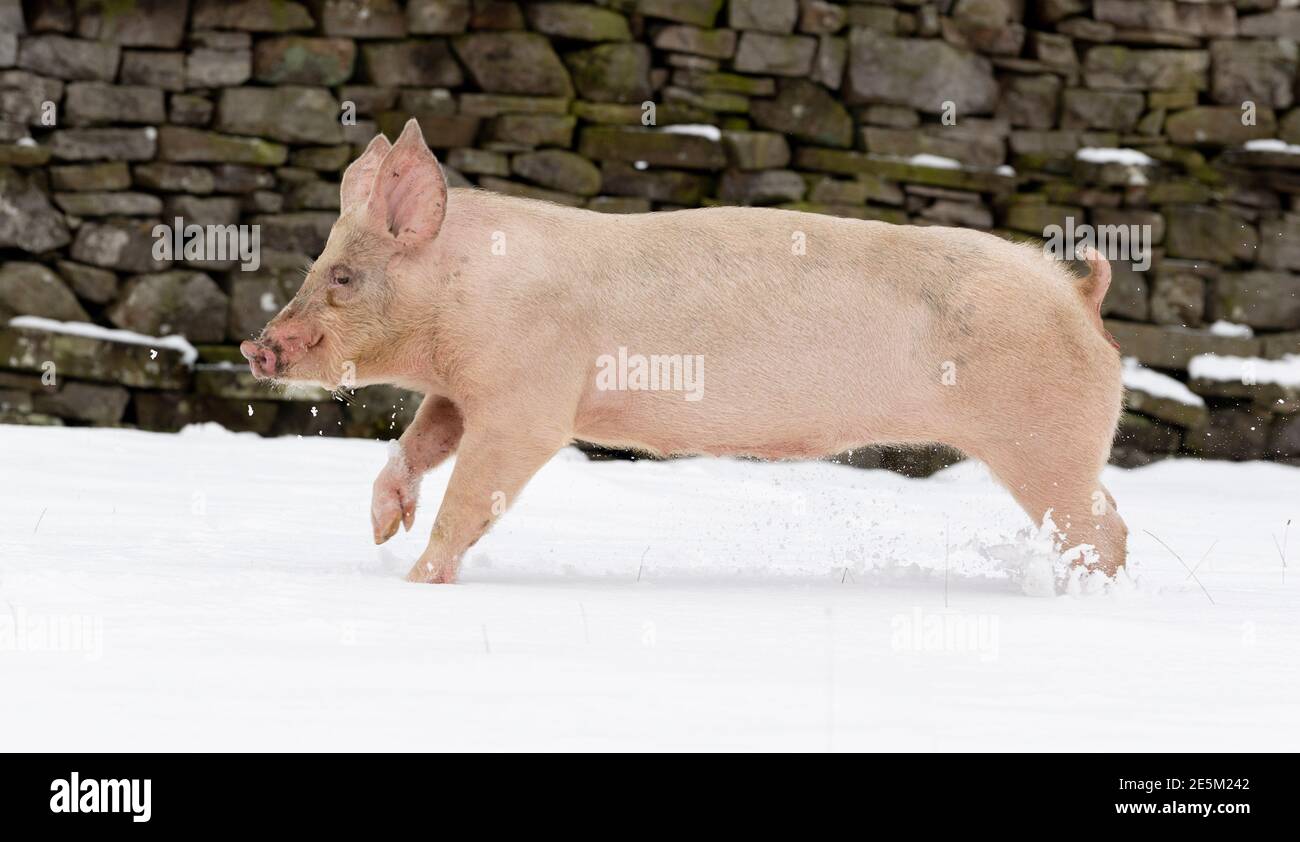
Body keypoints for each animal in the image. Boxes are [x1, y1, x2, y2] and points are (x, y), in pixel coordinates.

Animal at [241, 119, 1128, 584]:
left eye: (344, 275)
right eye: (318, 265)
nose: (257, 346)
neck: (461, 299)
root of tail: (1078, 294)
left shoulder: (530, 403)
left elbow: (472, 496)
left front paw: (415, 583)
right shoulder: (465, 391)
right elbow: (418, 443)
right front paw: (380, 532)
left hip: (1042, 435)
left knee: (1100, 524)